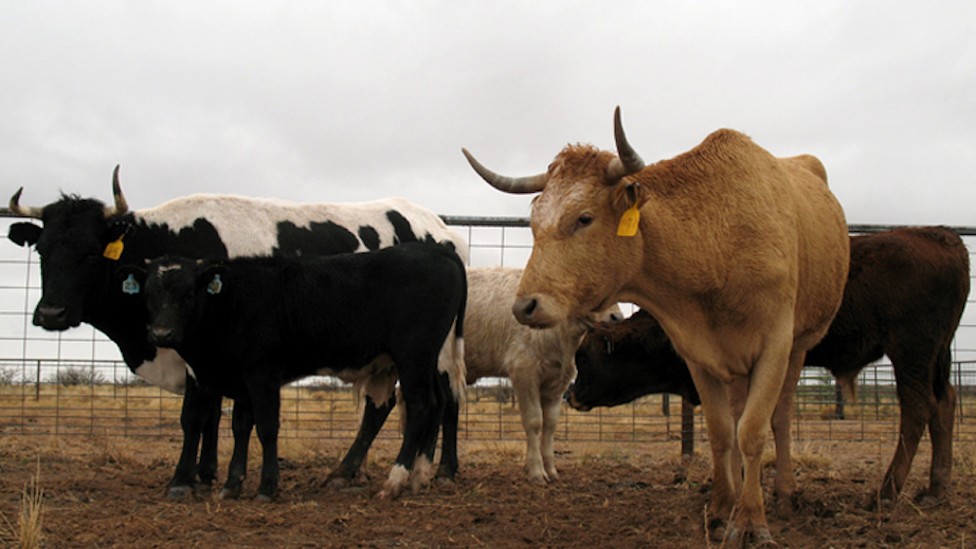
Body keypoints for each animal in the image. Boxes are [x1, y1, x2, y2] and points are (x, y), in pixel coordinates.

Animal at [134, 242, 467, 500]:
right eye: (148, 295)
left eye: (188, 294)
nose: (161, 334)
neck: (233, 301)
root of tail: (437, 249)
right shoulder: (241, 379)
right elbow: (239, 426)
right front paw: (231, 485)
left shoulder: (262, 375)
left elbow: (266, 428)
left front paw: (267, 488)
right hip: (419, 360)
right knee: (434, 402)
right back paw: (417, 476)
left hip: (414, 354)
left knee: (421, 405)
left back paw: (395, 481)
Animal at [440, 267, 622, 485]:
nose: (617, 318)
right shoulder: (524, 370)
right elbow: (534, 421)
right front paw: (536, 471)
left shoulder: (557, 383)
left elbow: (550, 424)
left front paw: (550, 469)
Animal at [462, 107, 849, 545]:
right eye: (532, 222)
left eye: (584, 218)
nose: (525, 306)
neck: (716, 240)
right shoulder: (699, 353)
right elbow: (722, 431)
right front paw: (721, 508)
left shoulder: (775, 346)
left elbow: (753, 431)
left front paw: (751, 521)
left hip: (800, 345)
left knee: (780, 417)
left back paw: (783, 493)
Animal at [569, 227, 969, 508]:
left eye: (584, 356)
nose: (571, 395)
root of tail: (943, 237)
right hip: (936, 358)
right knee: (944, 403)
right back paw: (935, 490)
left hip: (911, 353)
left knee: (917, 409)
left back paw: (886, 492)